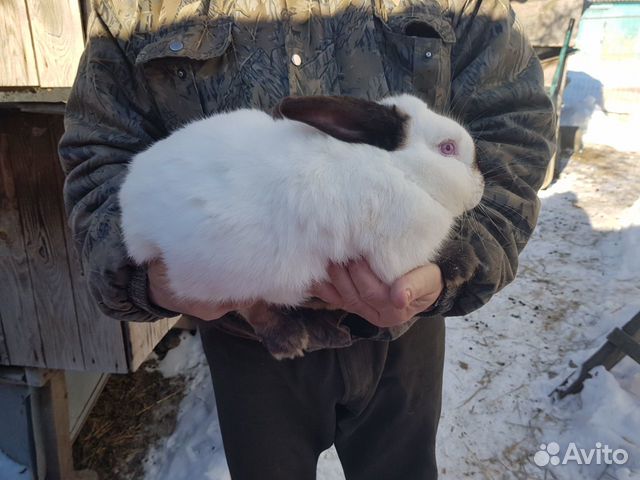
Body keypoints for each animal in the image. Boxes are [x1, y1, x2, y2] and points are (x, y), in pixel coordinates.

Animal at [118, 94, 485, 358]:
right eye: (448, 148)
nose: (481, 184)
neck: (400, 168)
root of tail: (130, 205)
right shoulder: (398, 254)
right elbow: (433, 255)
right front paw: (464, 263)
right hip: (220, 280)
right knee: (252, 308)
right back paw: (290, 340)